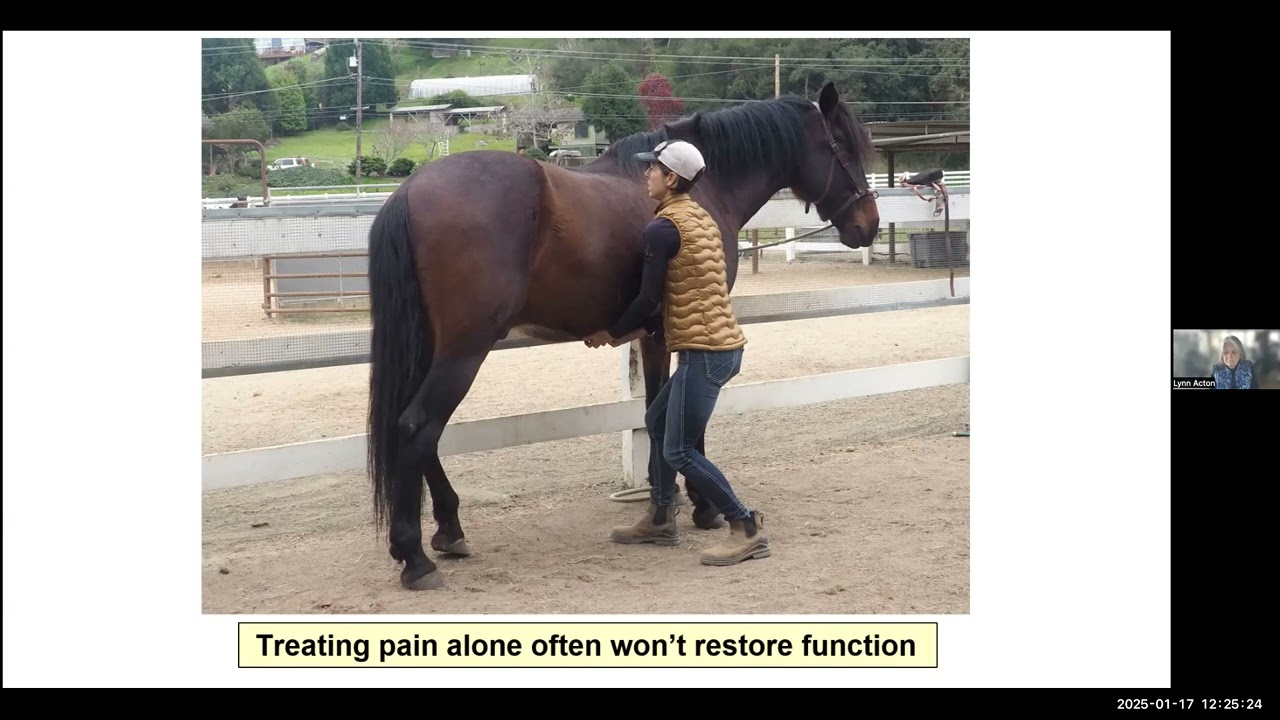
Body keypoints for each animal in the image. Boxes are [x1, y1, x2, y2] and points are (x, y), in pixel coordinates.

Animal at [366, 81, 881, 590]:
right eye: (844, 148)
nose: (869, 225)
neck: (701, 189)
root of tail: (409, 191)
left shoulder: (650, 333)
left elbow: (658, 412)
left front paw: (667, 501)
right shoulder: (673, 332)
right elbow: (685, 417)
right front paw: (700, 506)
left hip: (433, 347)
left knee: (414, 429)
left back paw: (448, 530)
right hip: (465, 348)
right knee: (417, 427)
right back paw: (415, 557)